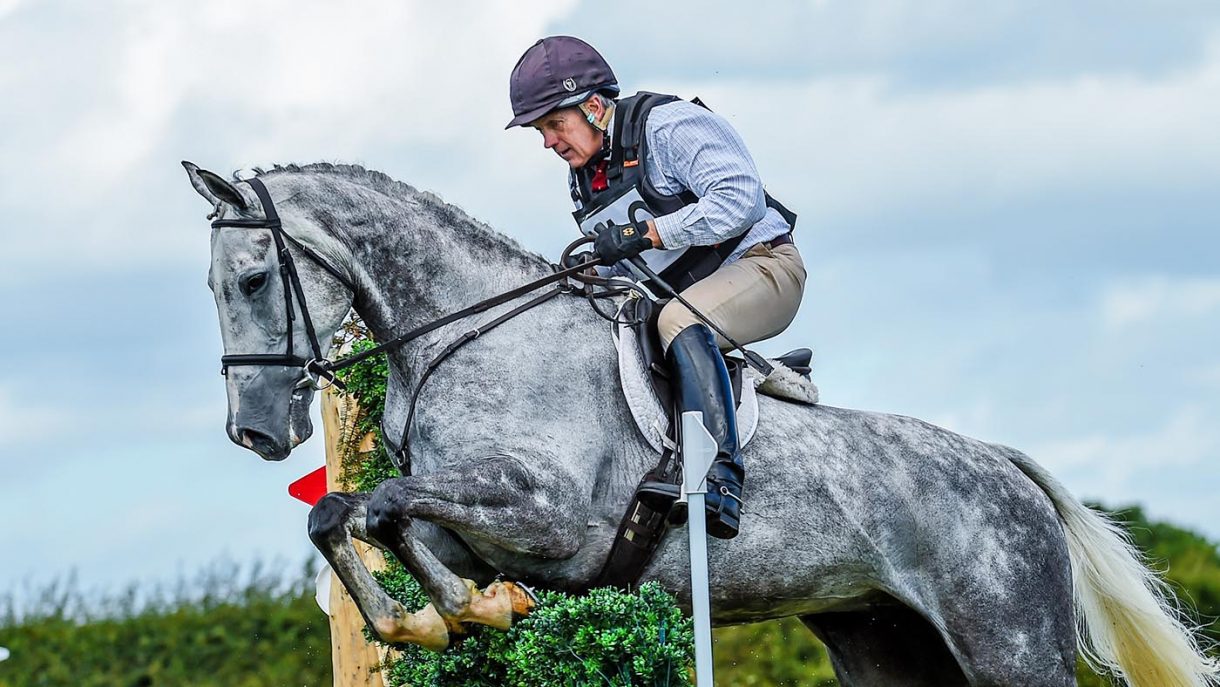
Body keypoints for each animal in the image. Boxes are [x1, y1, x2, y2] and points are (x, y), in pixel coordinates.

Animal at [184, 160, 1216, 686]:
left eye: (252, 279)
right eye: (213, 285)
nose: (257, 434)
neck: (469, 335)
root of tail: (1002, 467)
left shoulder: (551, 519)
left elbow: (384, 503)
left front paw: (465, 612)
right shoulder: (479, 529)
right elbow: (355, 512)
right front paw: (444, 615)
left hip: (1009, 644)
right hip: (887, 644)